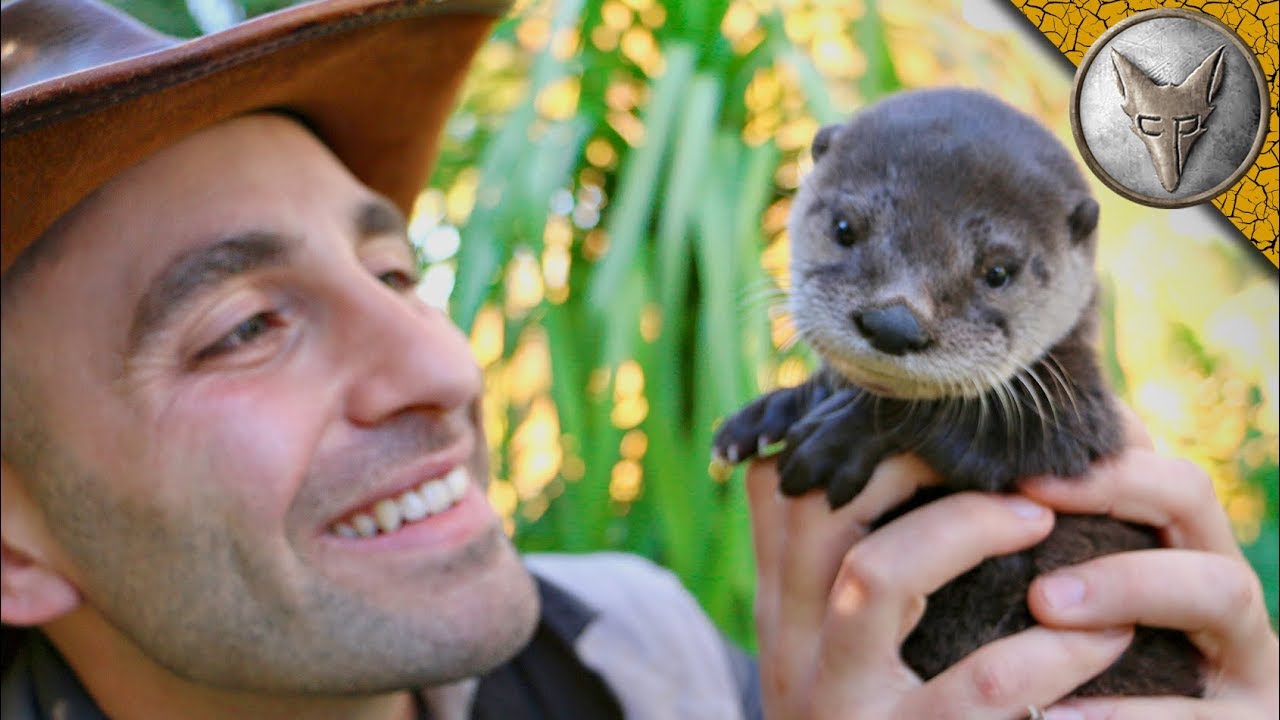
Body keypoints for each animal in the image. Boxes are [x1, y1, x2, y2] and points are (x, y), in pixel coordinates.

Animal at [713, 88, 1202, 697]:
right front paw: (767, 414)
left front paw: (840, 435)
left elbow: (984, 426)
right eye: (846, 228)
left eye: (998, 271)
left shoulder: (1077, 414)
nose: (893, 324)